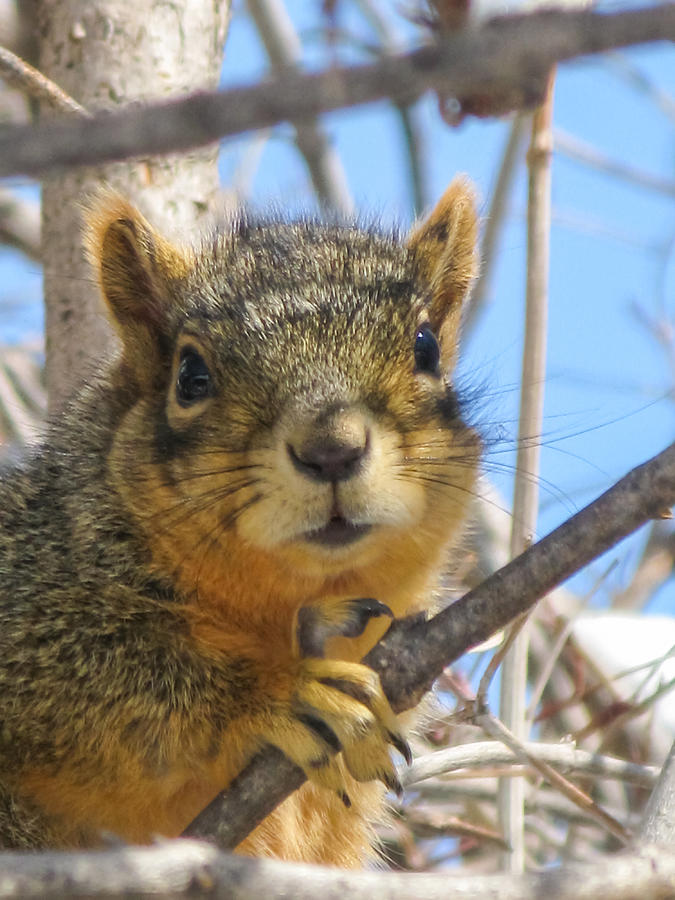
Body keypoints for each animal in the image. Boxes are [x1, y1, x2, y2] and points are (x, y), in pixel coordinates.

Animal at [0, 179, 480, 866]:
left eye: (426, 348)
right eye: (190, 375)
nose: (331, 448)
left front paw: (316, 635)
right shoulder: (26, 591)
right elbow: (87, 671)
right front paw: (283, 692)